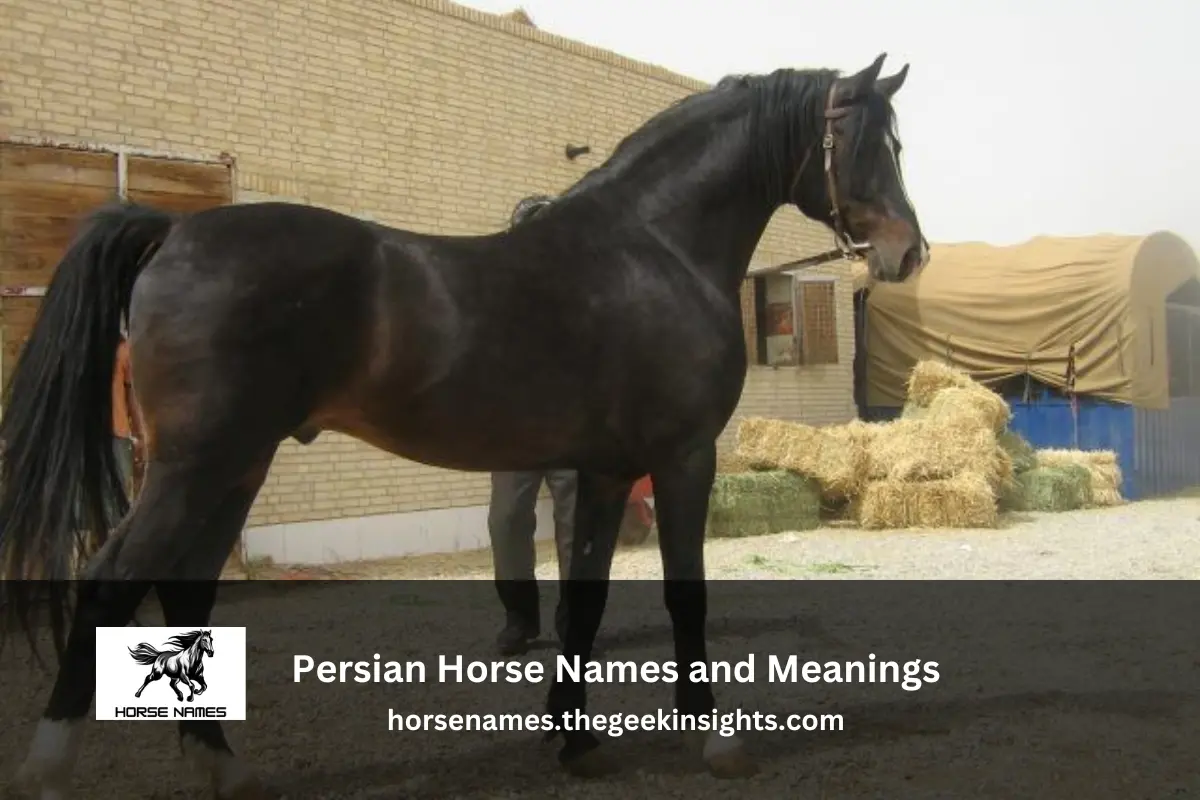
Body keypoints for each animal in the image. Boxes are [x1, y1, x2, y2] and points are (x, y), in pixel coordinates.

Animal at [0, 53, 927, 799]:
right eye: (872, 144)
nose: (908, 253)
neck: (652, 248)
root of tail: (175, 232)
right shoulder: (682, 457)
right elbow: (683, 594)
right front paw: (717, 741)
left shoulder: (604, 468)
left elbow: (585, 600)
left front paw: (575, 742)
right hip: (198, 466)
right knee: (112, 579)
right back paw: (48, 769)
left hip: (235, 467)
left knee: (184, 588)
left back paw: (223, 766)